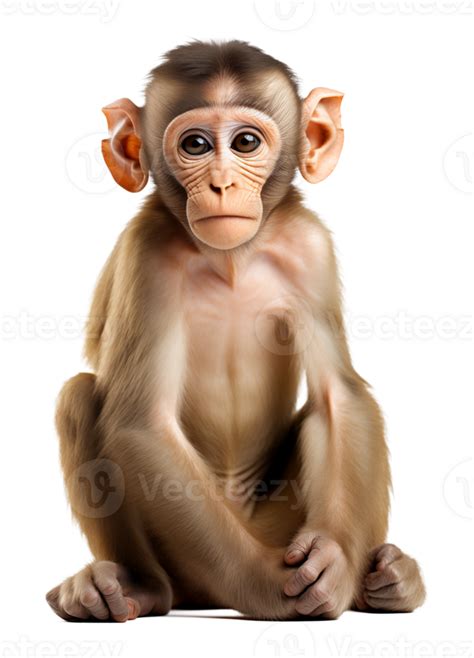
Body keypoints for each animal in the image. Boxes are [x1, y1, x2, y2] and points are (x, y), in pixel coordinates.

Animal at [46, 41, 426, 622]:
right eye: (196, 145)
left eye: (246, 142)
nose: (222, 184)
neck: (230, 259)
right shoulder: (146, 255)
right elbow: (140, 423)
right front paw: (271, 588)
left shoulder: (309, 246)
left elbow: (340, 396)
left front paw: (335, 567)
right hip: (192, 563)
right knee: (80, 395)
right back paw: (137, 588)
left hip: (273, 524)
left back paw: (387, 581)